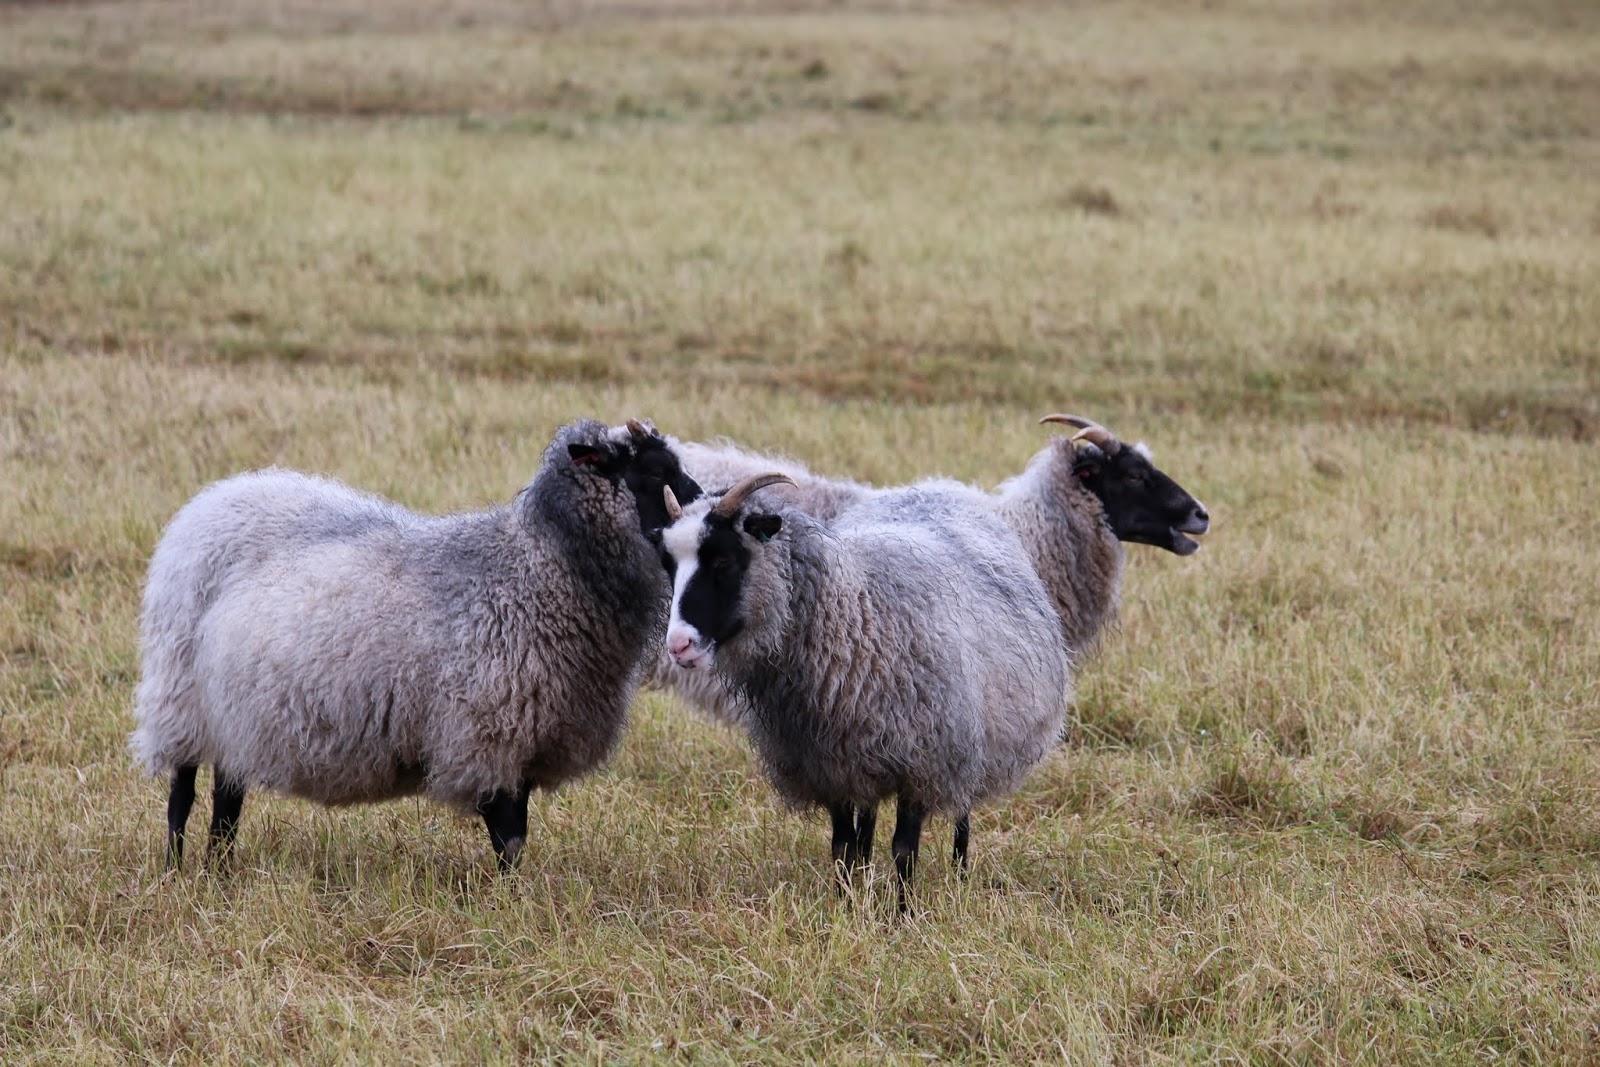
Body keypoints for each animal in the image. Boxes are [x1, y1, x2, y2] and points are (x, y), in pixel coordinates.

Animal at [130, 417, 703, 873]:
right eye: (655, 472)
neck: (538, 572)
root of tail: (213, 498)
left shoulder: (524, 738)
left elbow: (515, 833)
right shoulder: (489, 733)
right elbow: (509, 836)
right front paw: (512, 902)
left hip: (235, 706)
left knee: (228, 795)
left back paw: (219, 869)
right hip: (180, 692)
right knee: (183, 793)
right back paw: (176, 871)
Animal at [658, 472, 1071, 906]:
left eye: (723, 560)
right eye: (668, 564)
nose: (678, 645)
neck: (857, 613)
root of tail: (937, 485)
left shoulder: (923, 761)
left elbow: (904, 849)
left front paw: (904, 913)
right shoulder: (828, 766)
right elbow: (843, 845)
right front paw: (845, 905)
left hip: (970, 742)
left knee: (962, 812)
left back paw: (959, 877)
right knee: (867, 825)